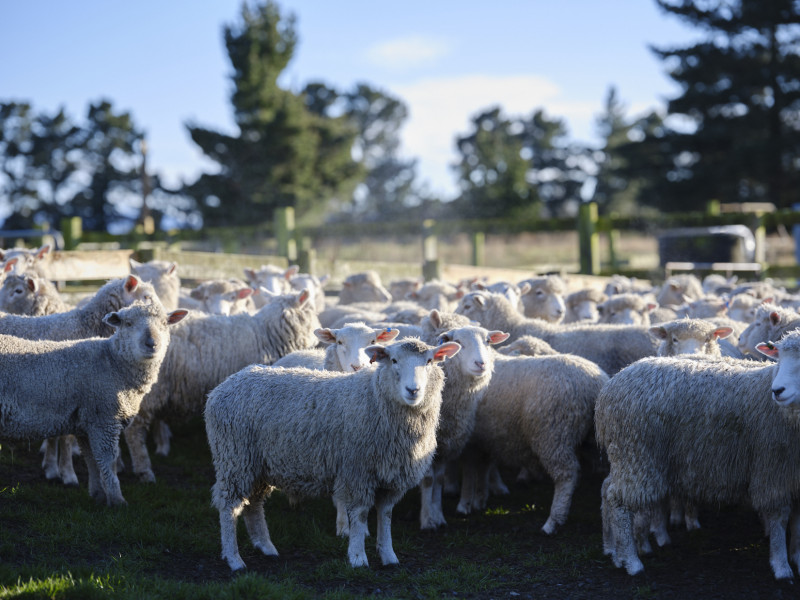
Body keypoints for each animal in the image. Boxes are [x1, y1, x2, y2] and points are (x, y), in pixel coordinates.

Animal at [0, 301, 186, 505]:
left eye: (164, 323)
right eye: (128, 323)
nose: (151, 344)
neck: (113, 363)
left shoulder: (86, 423)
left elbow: (92, 460)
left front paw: (98, 495)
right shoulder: (104, 419)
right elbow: (107, 461)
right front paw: (117, 500)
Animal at [123, 288, 321, 483]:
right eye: (310, 309)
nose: (319, 332)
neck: (267, 334)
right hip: (147, 395)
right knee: (134, 431)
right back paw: (144, 471)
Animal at [204, 337, 461, 570]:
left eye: (429, 361)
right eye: (394, 360)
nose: (413, 390)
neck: (374, 398)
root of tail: (226, 384)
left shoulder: (391, 478)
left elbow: (385, 516)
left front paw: (389, 556)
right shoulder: (358, 472)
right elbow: (360, 515)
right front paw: (358, 558)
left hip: (257, 464)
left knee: (254, 504)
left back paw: (266, 546)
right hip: (234, 458)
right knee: (228, 506)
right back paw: (234, 558)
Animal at [456, 349, 609, 534]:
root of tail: (595, 382)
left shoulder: (470, 439)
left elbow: (469, 470)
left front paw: (464, 504)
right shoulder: (486, 437)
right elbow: (483, 468)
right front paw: (480, 499)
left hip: (553, 434)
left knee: (567, 474)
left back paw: (553, 521)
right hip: (593, 439)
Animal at [595, 334, 800, 580]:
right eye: (780, 357)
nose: (777, 390)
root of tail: (611, 386)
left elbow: (798, 522)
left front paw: (797, 557)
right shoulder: (774, 470)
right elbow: (780, 519)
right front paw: (781, 566)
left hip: (625, 457)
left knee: (607, 489)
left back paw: (613, 551)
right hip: (637, 455)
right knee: (619, 501)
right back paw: (632, 561)